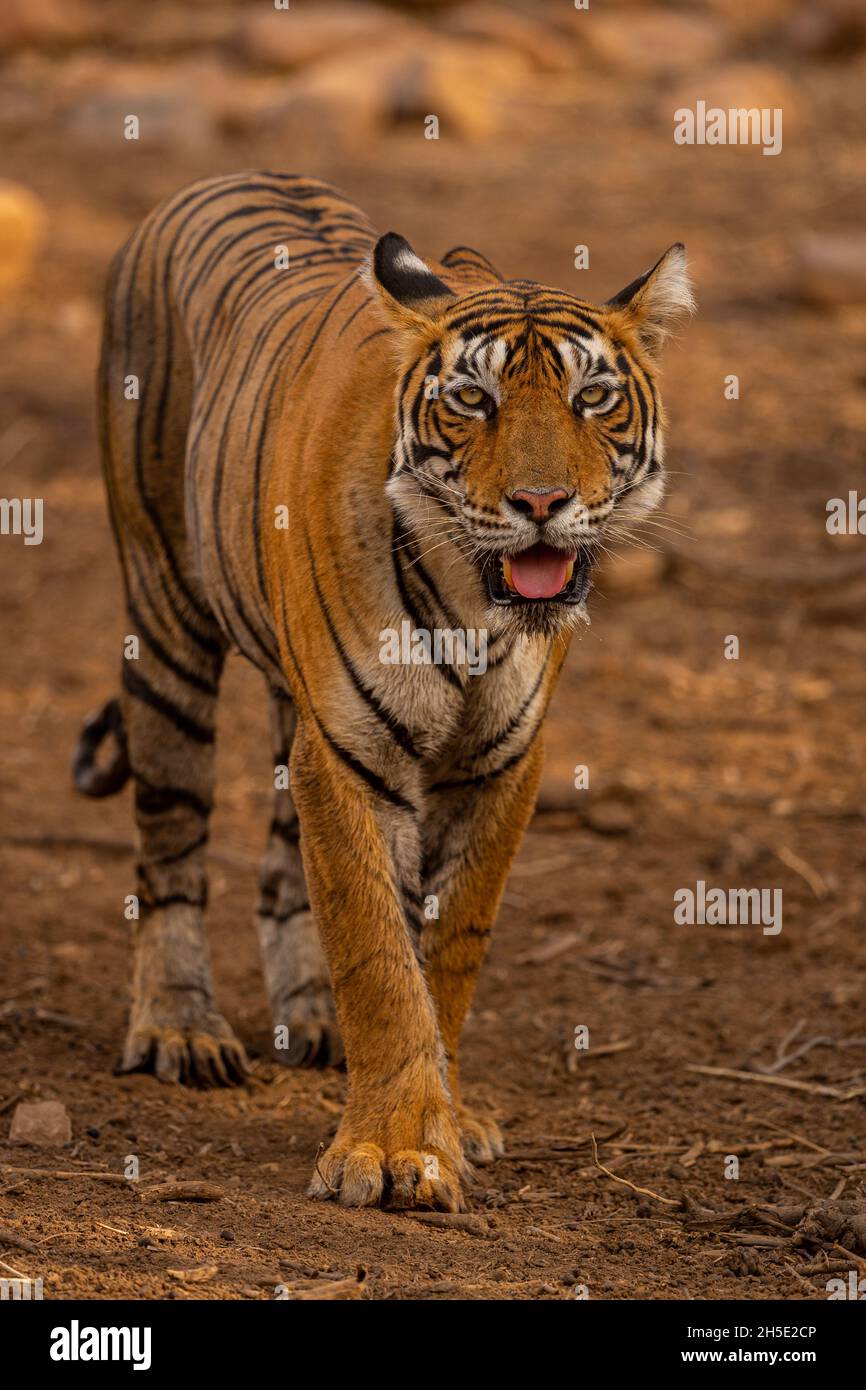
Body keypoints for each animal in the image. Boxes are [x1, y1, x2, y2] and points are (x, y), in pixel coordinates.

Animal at [73, 172, 693, 1211]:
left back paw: (310, 1020)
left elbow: (447, 950)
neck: (472, 606)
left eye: (593, 397)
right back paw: (179, 1030)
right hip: (165, 623)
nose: (541, 504)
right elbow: (376, 949)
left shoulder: (498, 764)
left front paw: (448, 1122)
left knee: (282, 865)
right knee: (171, 849)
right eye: (473, 399)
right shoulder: (351, 754)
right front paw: (393, 1151)